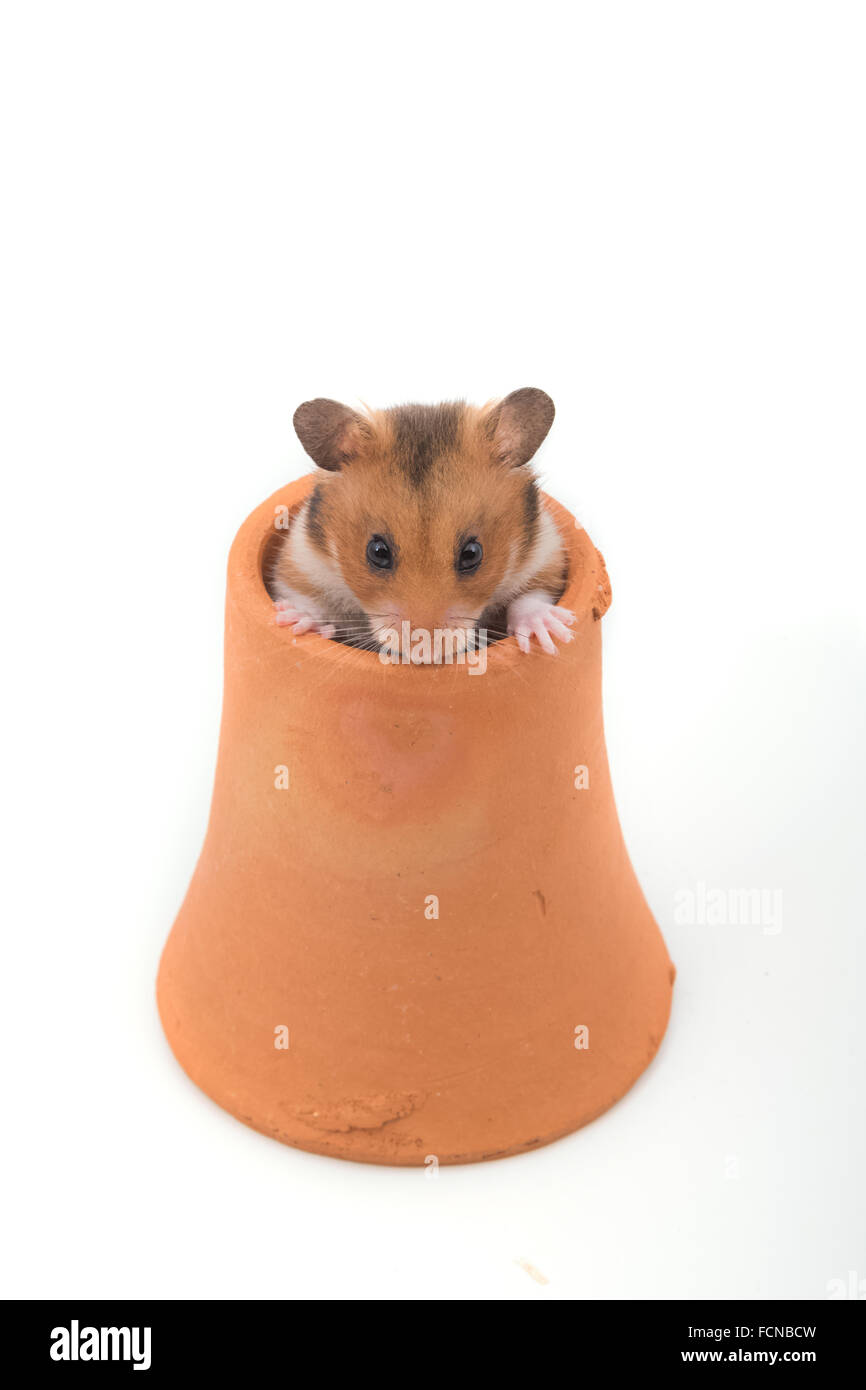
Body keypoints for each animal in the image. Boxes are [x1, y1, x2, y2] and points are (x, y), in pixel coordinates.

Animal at [268, 387, 574, 659]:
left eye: (472, 554)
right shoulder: (299, 563)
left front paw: (553, 635)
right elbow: (303, 599)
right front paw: (295, 622)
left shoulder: (545, 557)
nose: (425, 653)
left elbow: (532, 597)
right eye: (377, 552)